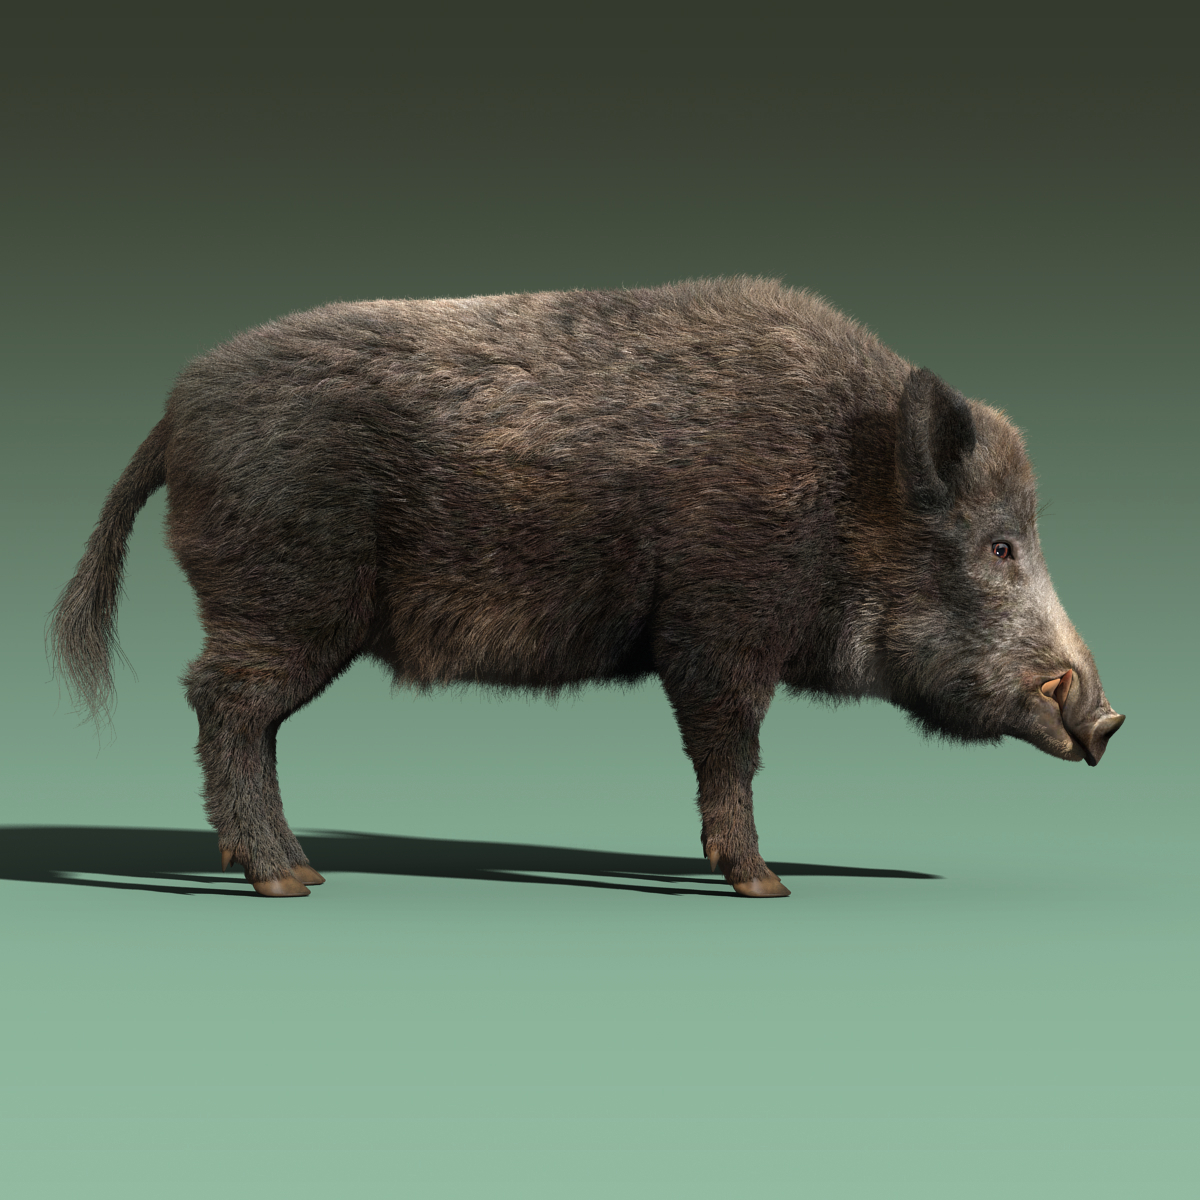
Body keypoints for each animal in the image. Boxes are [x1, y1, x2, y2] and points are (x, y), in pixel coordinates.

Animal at [51, 277, 1125, 898]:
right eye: (999, 547)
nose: (1109, 718)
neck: (844, 490)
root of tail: (175, 411)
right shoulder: (720, 630)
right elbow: (730, 750)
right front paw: (765, 886)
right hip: (285, 597)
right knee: (223, 704)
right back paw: (289, 879)